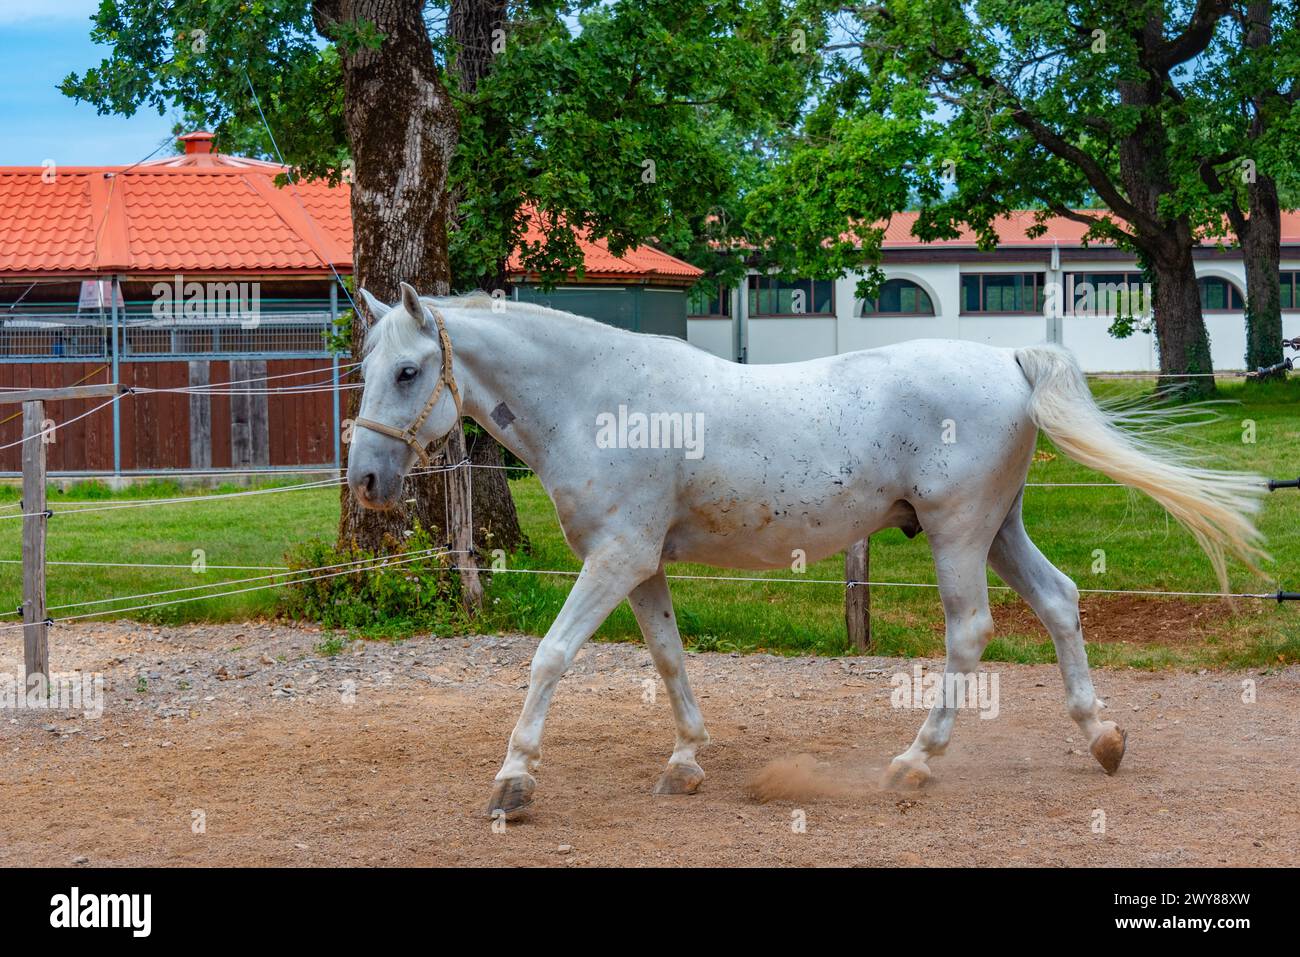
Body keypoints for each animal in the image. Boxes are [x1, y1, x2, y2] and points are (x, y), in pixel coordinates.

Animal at [347, 282, 1266, 819]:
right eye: (365, 366)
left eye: (407, 371)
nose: (364, 480)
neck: (601, 400)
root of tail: (1007, 357)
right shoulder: (642, 565)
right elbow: (669, 657)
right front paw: (686, 759)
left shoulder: (613, 559)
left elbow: (549, 656)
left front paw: (513, 781)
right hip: (999, 528)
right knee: (1060, 600)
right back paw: (1101, 737)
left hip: (958, 531)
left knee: (970, 631)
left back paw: (913, 764)